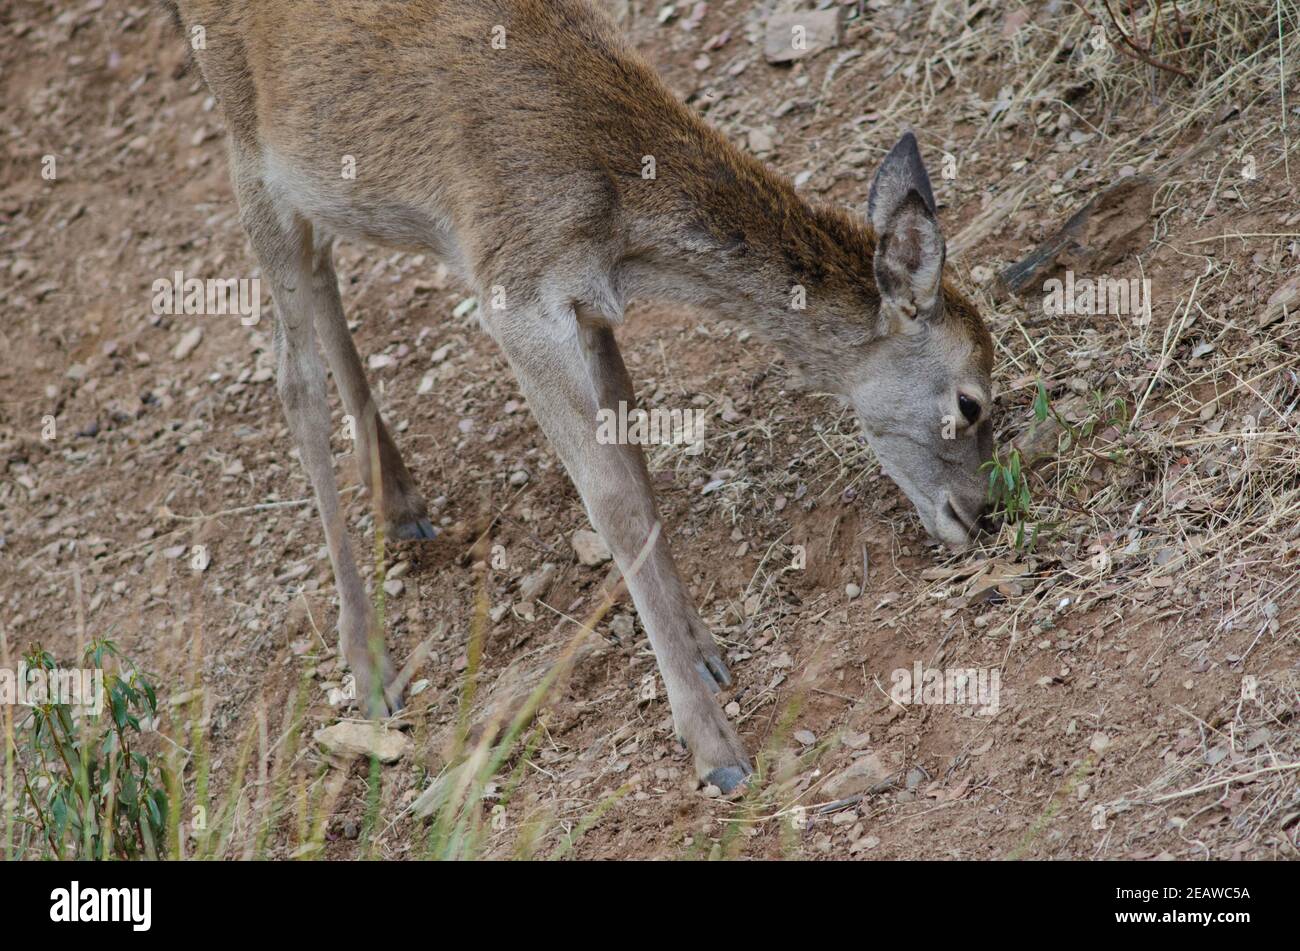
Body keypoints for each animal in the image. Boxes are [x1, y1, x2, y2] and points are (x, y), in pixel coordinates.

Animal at [161, 0, 995, 793]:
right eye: (972, 401)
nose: (979, 514)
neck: (618, 217)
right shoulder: (515, 297)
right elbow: (613, 502)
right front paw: (714, 747)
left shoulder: (590, 306)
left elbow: (636, 471)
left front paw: (705, 649)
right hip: (245, 143)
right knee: (291, 374)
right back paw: (370, 663)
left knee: (327, 292)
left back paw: (401, 503)